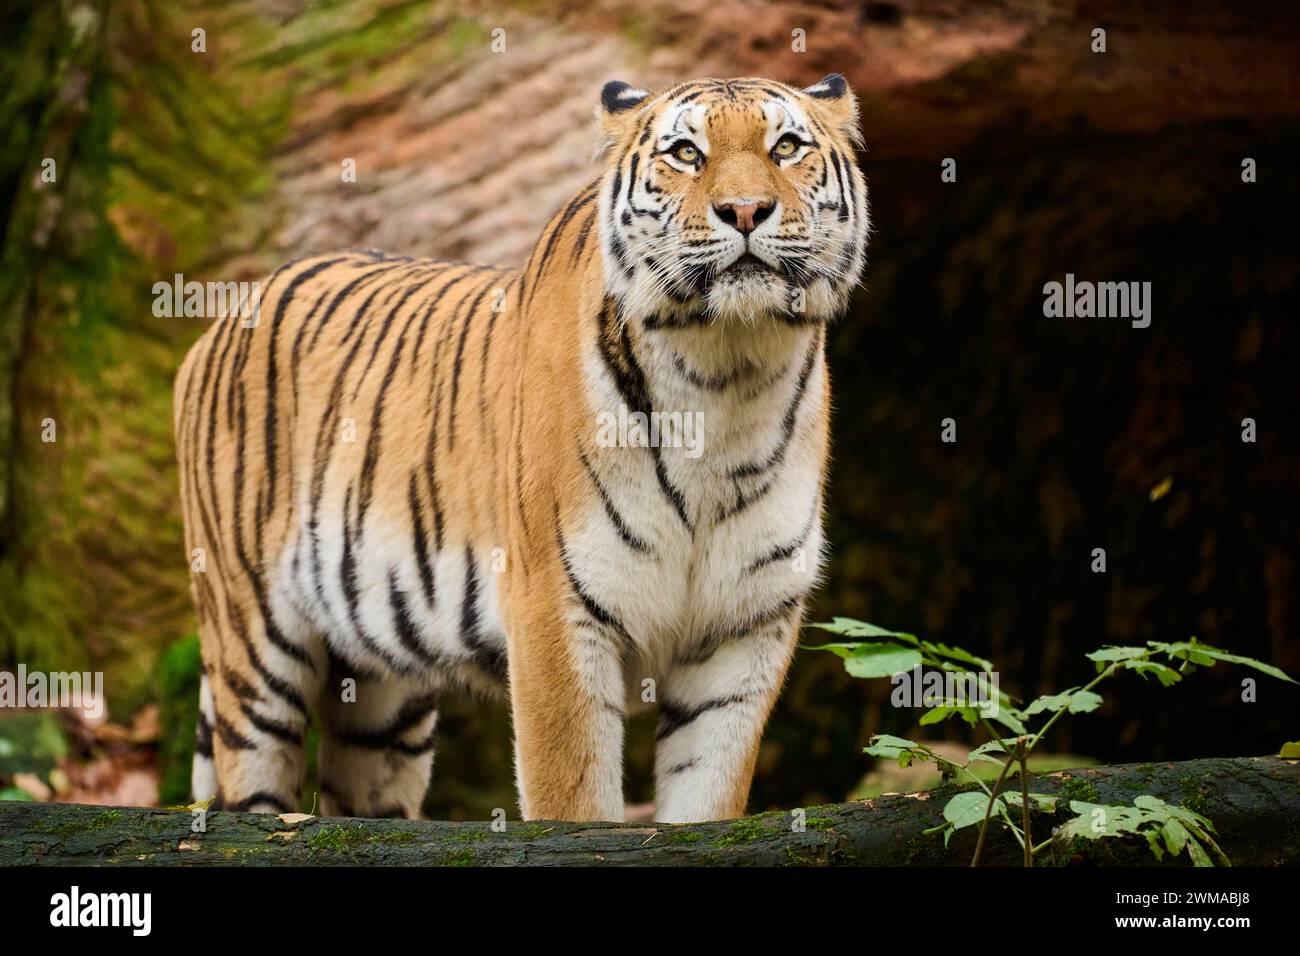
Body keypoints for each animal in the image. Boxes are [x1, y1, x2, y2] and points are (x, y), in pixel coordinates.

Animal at [174, 74, 869, 824]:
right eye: (686, 153)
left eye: (787, 146)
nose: (744, 210)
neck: (728, 376)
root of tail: (224, 316)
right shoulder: (554, 607)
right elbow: (574, 800)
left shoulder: (746, 625)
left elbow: (706, 804)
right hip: (254, 647)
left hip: (382, 699)